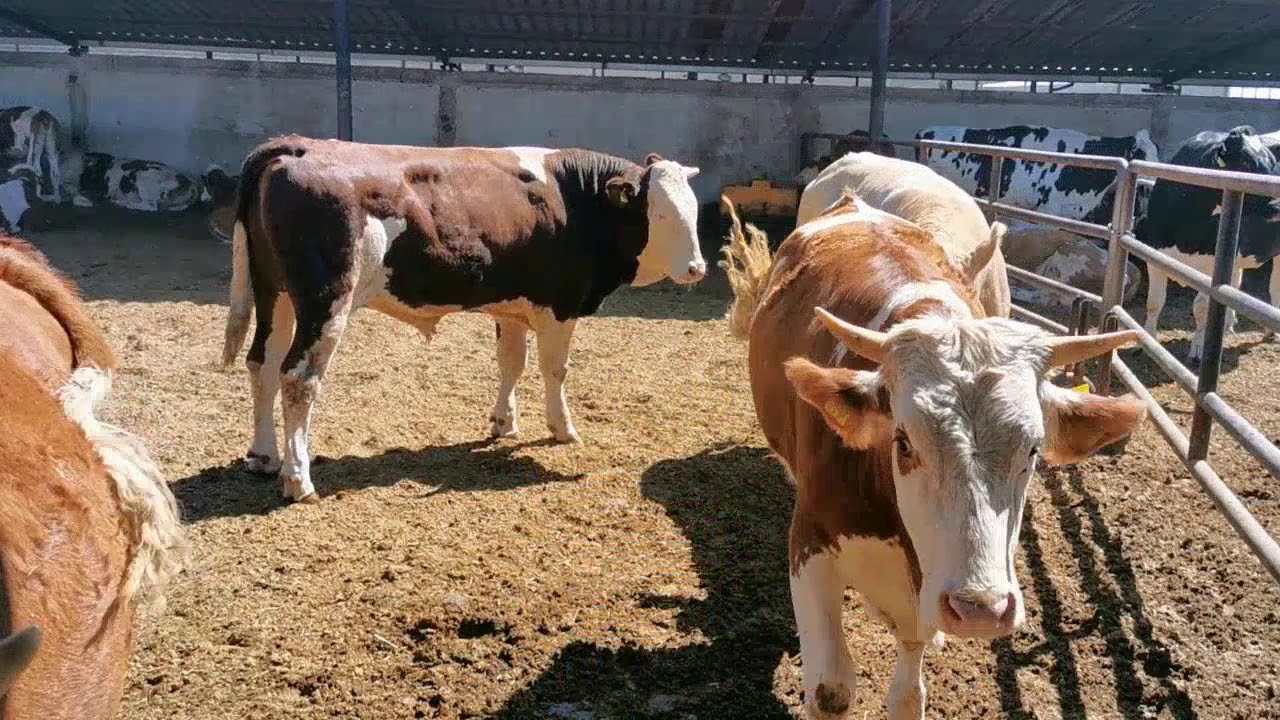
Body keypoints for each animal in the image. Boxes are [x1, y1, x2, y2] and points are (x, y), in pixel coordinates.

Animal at [63, 151, 202, 212]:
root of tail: (190, 182)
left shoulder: (99, 192)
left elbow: (77, 198)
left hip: (145, 180)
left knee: (150, 206)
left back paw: (122, 202)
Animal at [220, 137, 707, 503]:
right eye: (659, 212)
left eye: (696, 212)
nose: (697, 268)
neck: (573, 201)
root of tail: (299, 146)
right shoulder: (560, 306)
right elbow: (555, 370)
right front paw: (562, 428)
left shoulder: (514, 306)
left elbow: (511, 363)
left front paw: (504, 423)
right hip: (326, 302)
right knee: (298, 378)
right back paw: (298, 479)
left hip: (275, 294)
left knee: (262, 364)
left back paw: (264, 457)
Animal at [719, 196, 1146, 720]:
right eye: (903, 442)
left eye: (1032, 449)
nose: (980, 609)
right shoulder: (810, 543)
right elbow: (831, 690)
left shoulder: (922, 593)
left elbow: (907, 690)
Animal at [1138, 126, 1280, 363]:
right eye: (1246, 163)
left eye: (1273, 163)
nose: (1278, 206)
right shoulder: (1155, 253)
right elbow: (1154, 301)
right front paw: (1146, 341)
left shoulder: (1211, 267)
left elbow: (1202, 307)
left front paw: (1199, 348)